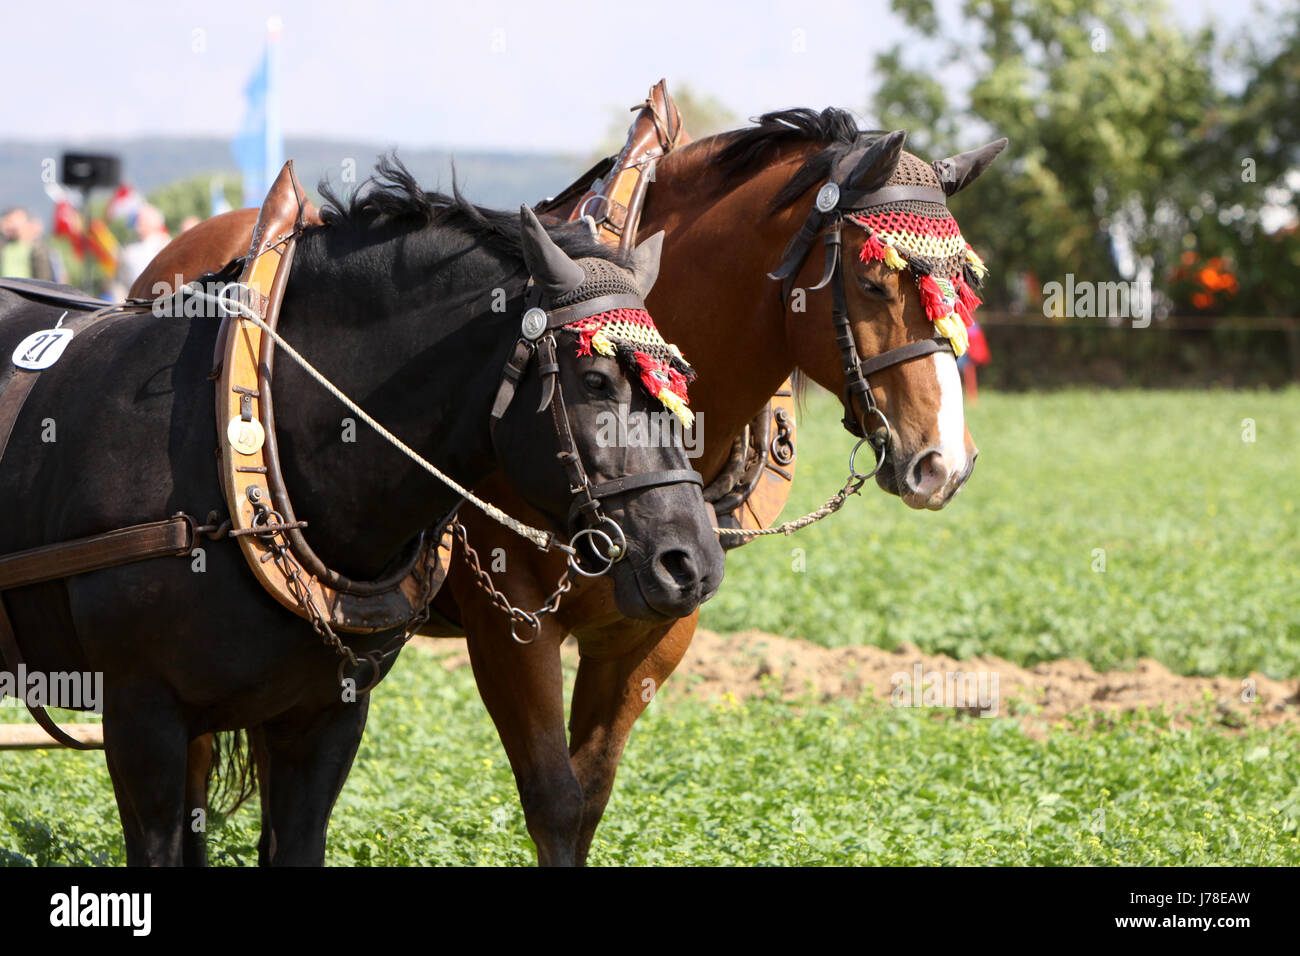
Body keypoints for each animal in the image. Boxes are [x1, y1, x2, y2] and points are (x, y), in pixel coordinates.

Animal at [133, 107, 1005, 865]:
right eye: (873, 281)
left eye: (965, 285)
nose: (944, 462)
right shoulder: (510, 626)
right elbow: (552, 800)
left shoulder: (651, 633)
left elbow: (589, 797)